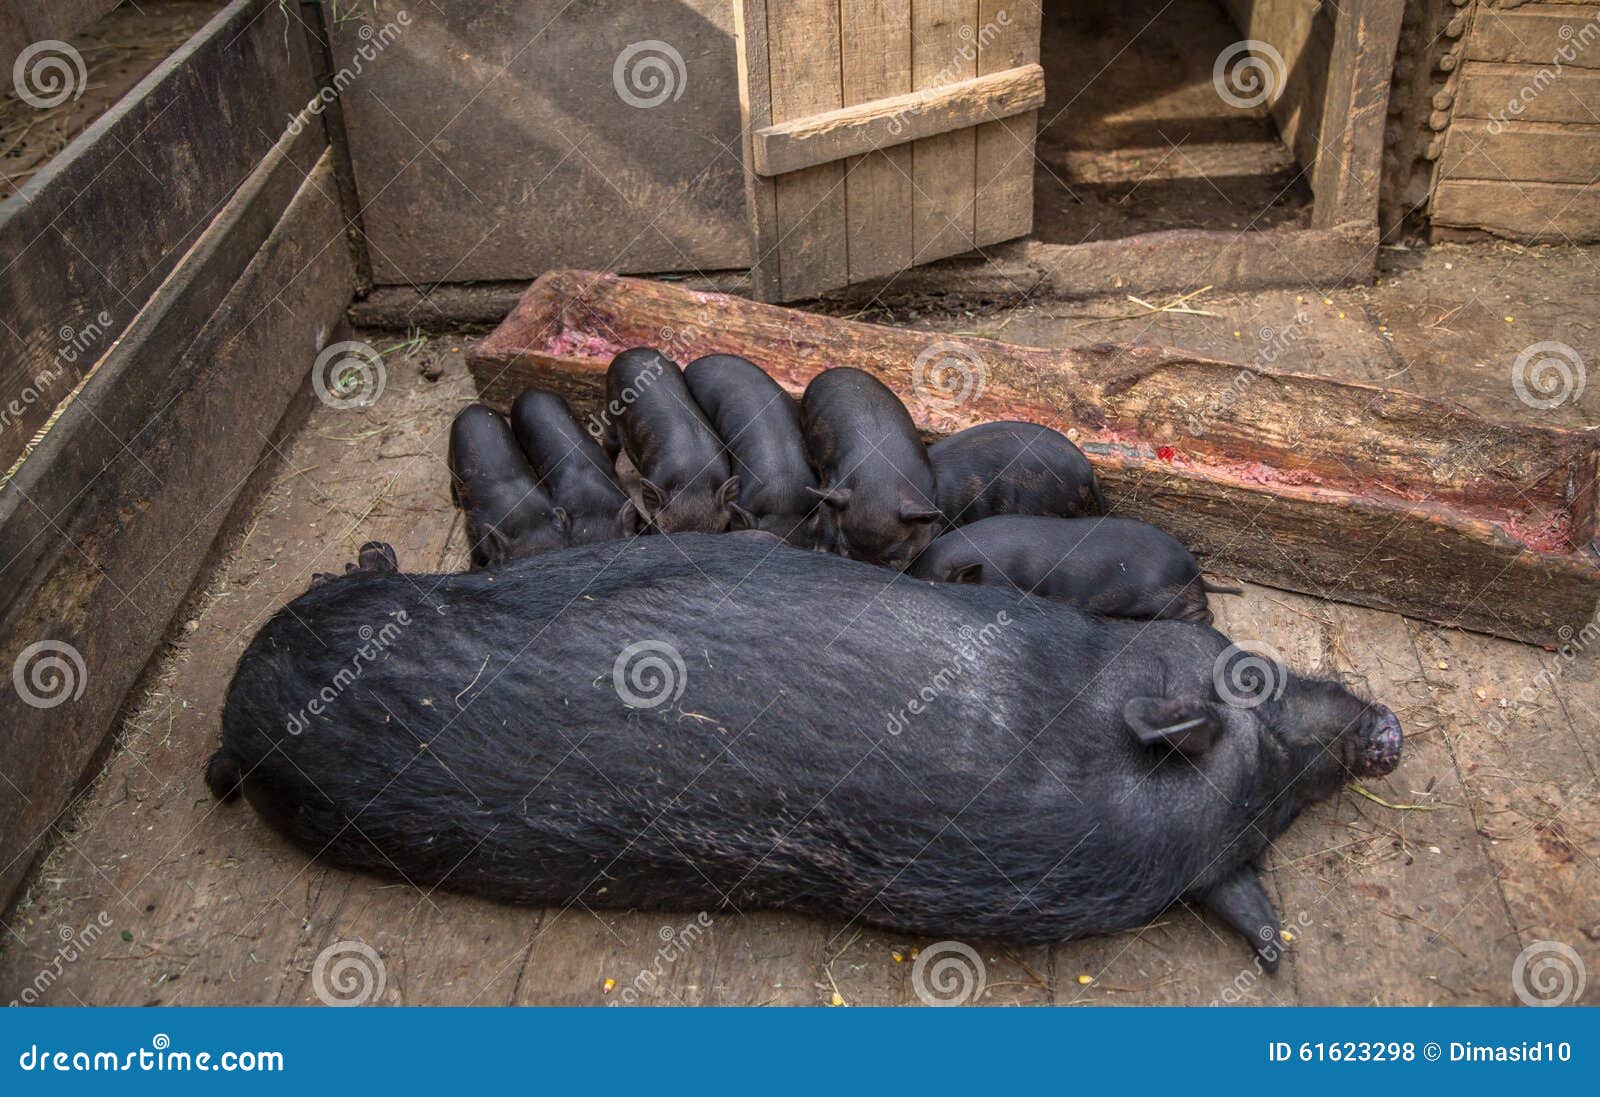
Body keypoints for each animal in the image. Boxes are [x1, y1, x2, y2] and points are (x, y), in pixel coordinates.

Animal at [800, 367, 941, 568]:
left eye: (893, 553)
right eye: (845, 544)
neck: (879, 481)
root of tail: (835, 370)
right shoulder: (833, 482)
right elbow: (826, 521)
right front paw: (821, 551)